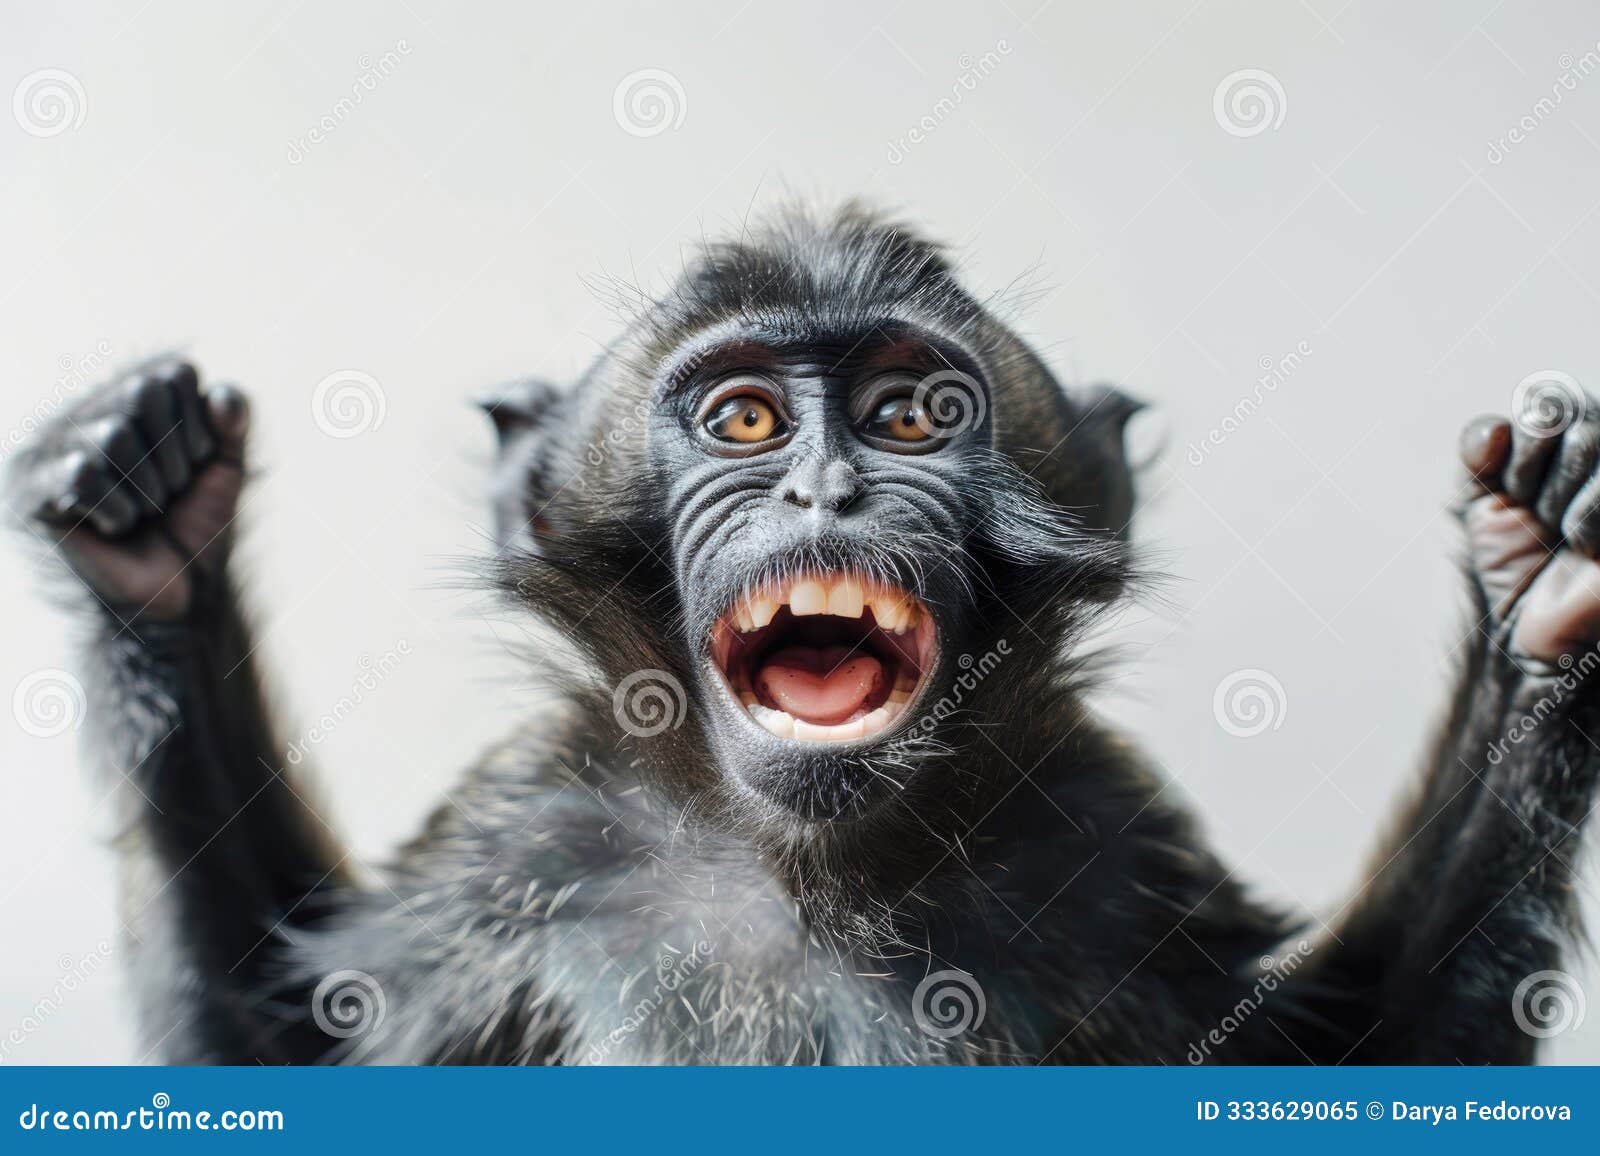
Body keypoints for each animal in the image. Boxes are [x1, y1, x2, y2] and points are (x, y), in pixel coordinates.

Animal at [5, 202, 1598, 1064]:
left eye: (910, 415)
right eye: (746, 421)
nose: (827, 488)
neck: (813, 868)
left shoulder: (1108, 843)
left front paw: (1537, 588)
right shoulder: (520, 839)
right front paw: (149, 543)